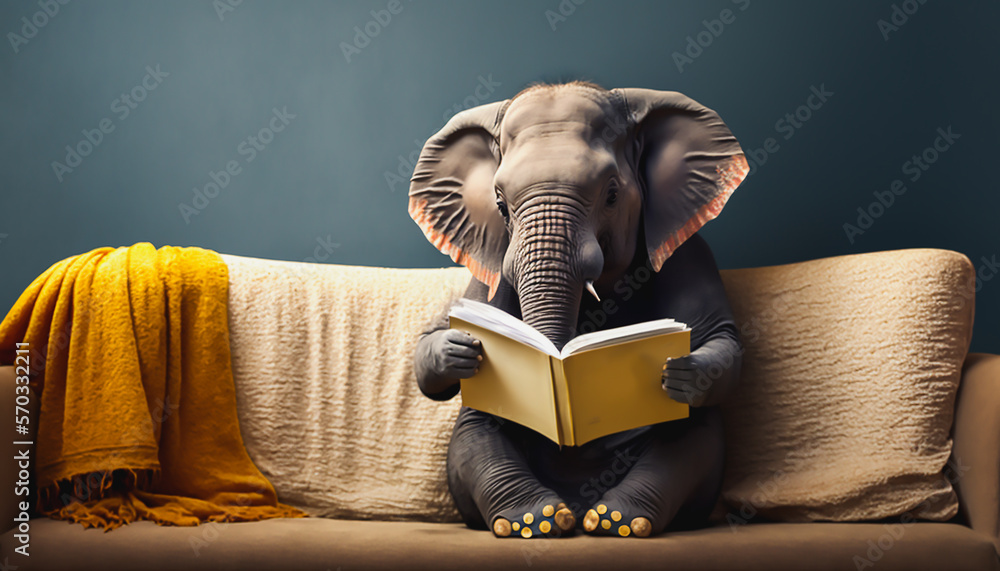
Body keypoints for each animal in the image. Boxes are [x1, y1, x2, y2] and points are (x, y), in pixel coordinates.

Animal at [410, 81, 749, 538]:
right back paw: (537, 520)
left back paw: (613, 520)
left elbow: (720, 338)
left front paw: (679, 369)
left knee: (695, 426)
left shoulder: (690, 250)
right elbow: (434, 358)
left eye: (611, 194)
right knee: (475, 427)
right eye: (499, 204)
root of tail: (578, 501)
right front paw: (461, 349)